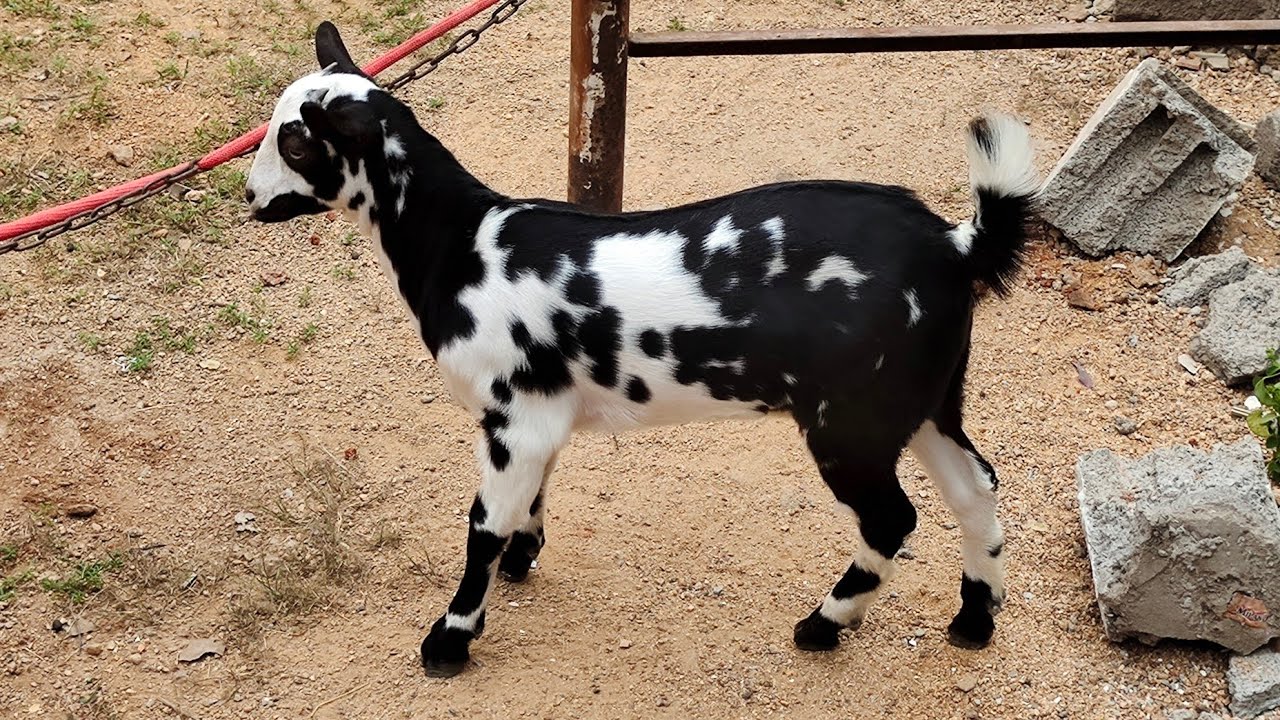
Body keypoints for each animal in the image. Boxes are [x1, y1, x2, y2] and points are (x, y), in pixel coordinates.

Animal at [245, 22, 1039, 678]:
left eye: (294, 143)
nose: (251, 198)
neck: (463, 242)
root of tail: (954, 245)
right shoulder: (537, 419)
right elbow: (532, 495)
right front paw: (524, 559)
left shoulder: (511, 417)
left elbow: (482, 528)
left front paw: (451, 638)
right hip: (923, 400)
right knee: (976, 487)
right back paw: (974, 620)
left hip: (850, 420)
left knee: (891, 519)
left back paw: (824, 625)